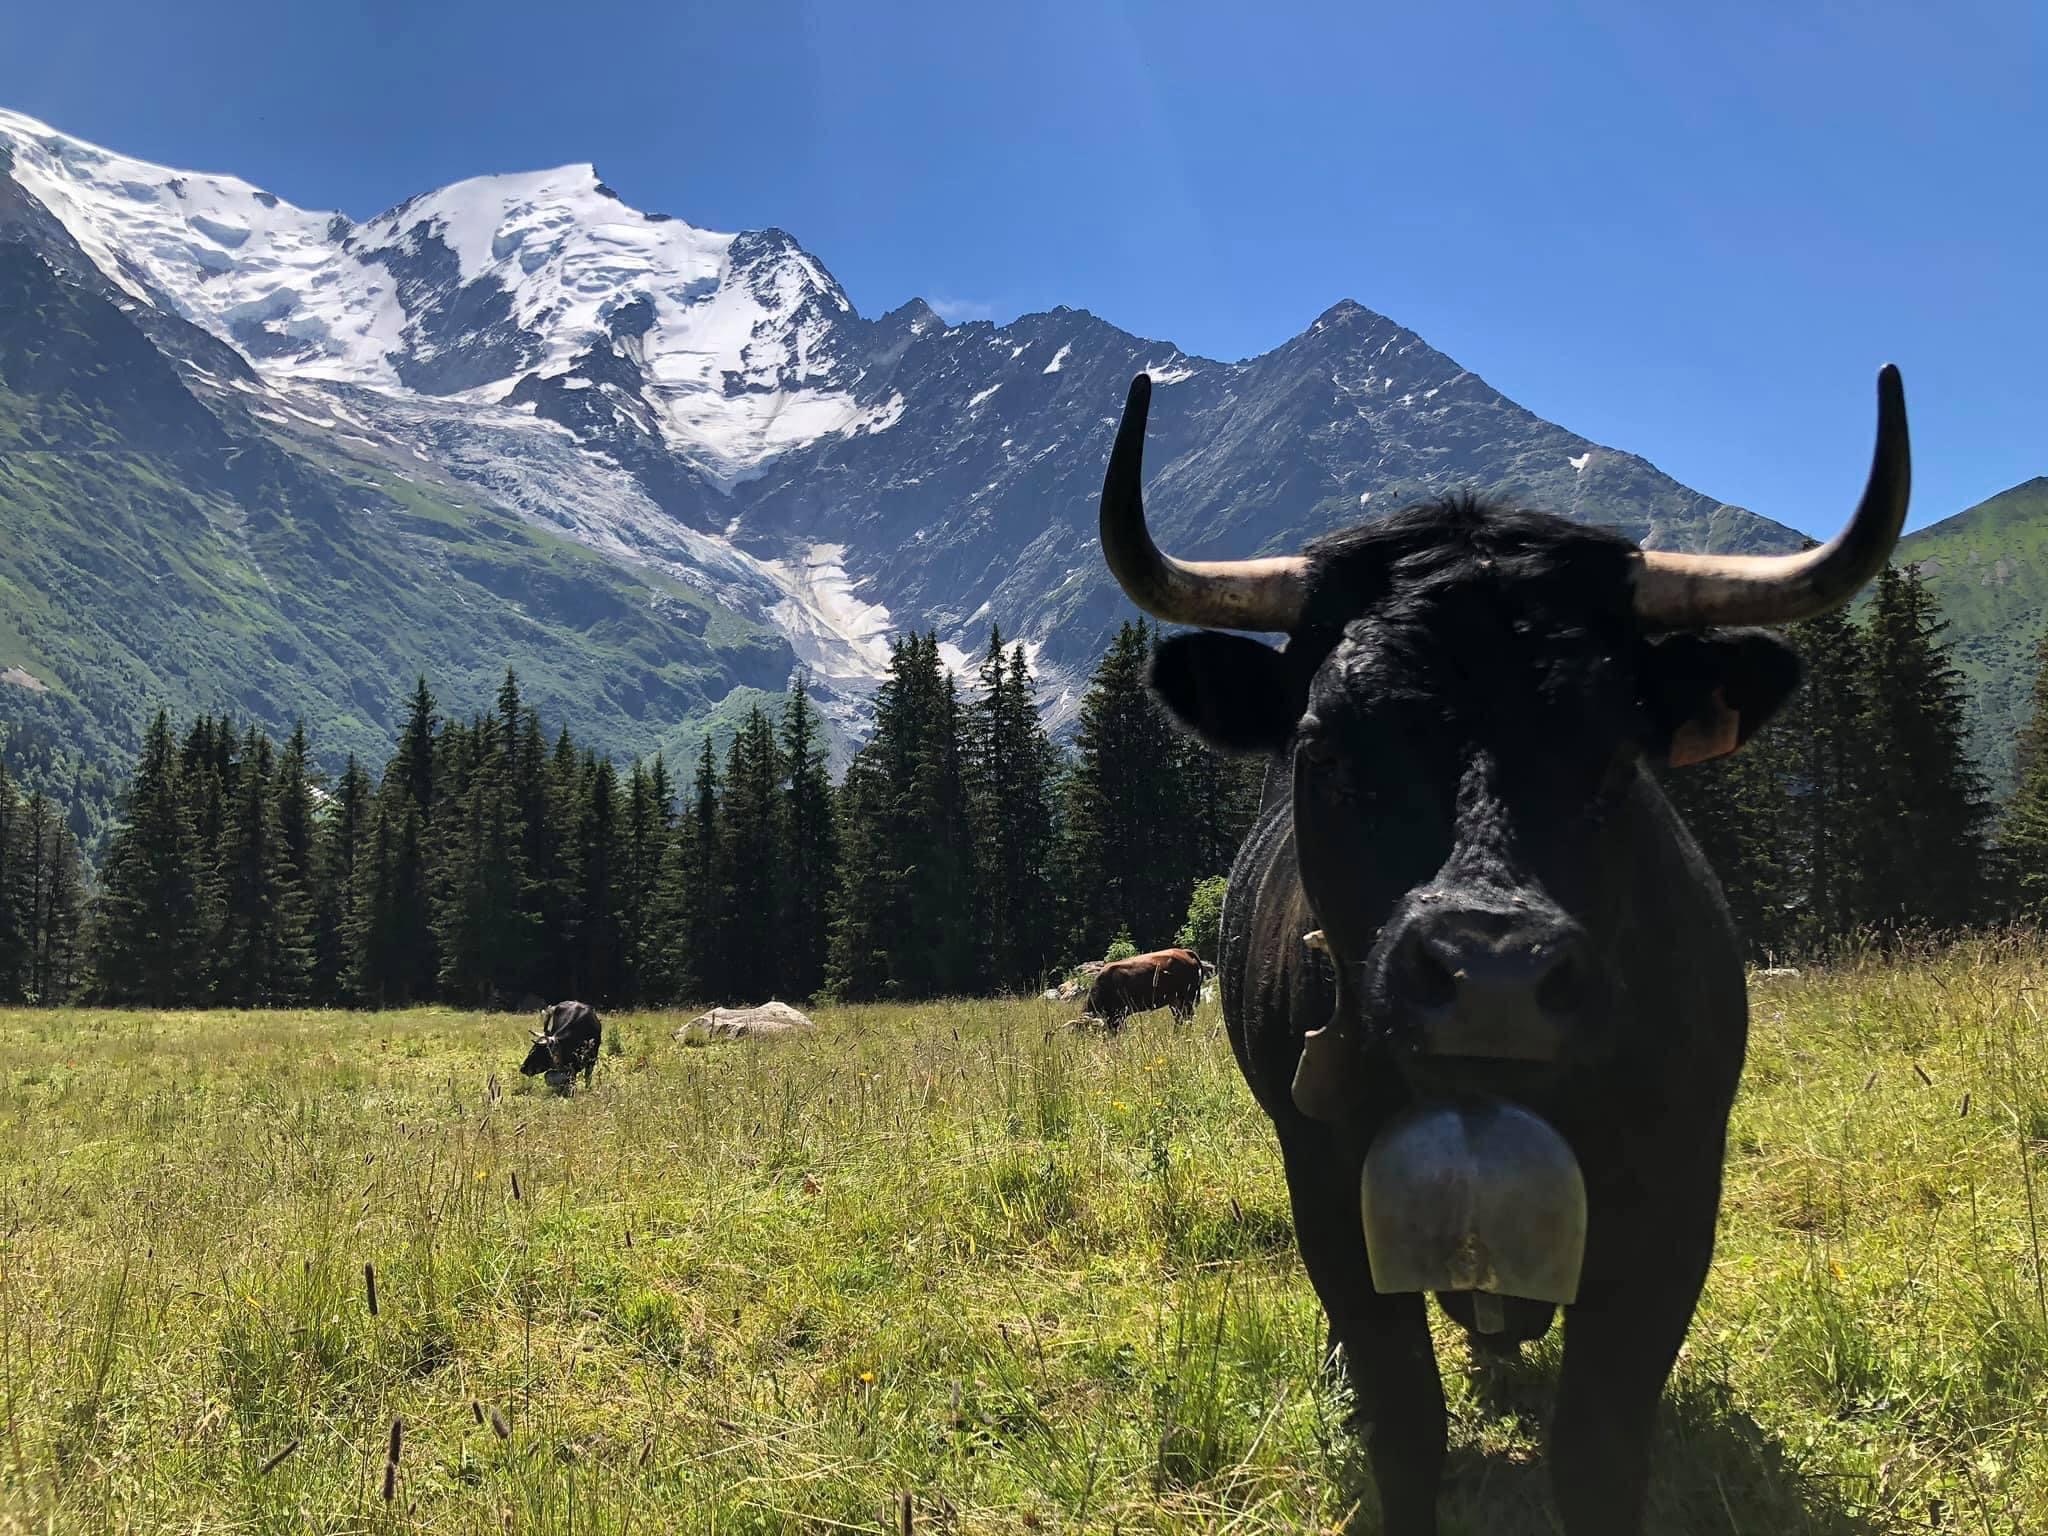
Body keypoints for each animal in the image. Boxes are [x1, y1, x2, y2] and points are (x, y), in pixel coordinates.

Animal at [1094, 366, 1909, 1535]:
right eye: (1327, 746)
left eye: (1618, 755)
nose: (1492, 976)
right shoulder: (1325, 1184)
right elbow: (1405, 1421)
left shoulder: (1675, 1194)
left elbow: (1598, 1441)